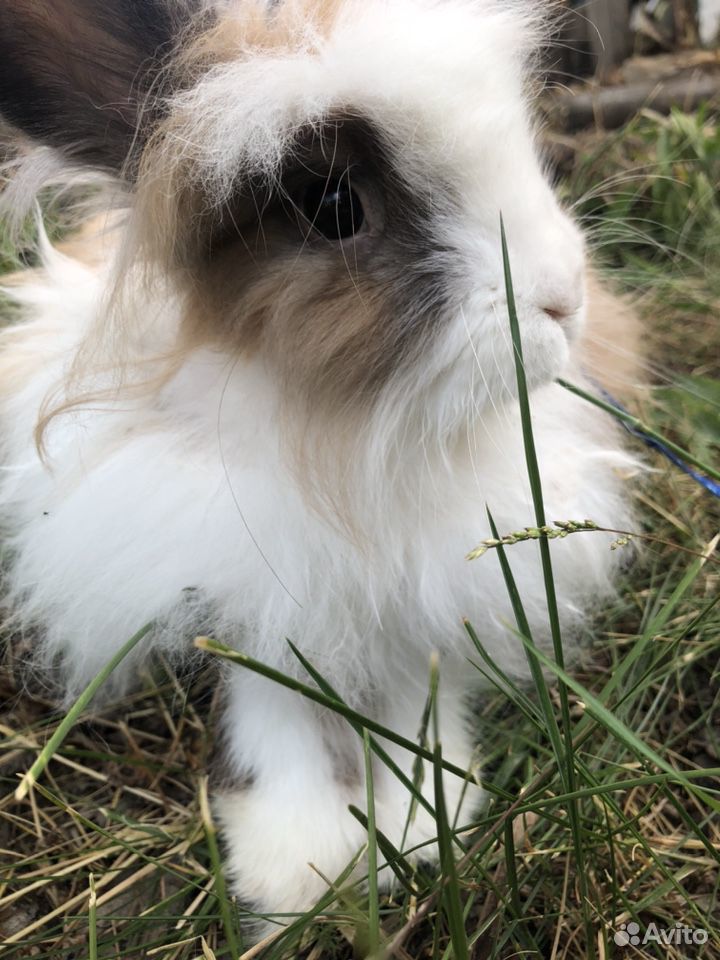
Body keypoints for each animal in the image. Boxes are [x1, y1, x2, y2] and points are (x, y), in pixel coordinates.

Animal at [0, 0, 641, 922]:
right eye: (332, 206)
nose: (565, 296)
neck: (347, 442)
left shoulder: (425, 606)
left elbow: (415, 716)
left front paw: (418, 828)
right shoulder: (252, 604)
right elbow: (274, 721)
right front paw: (293, 866)